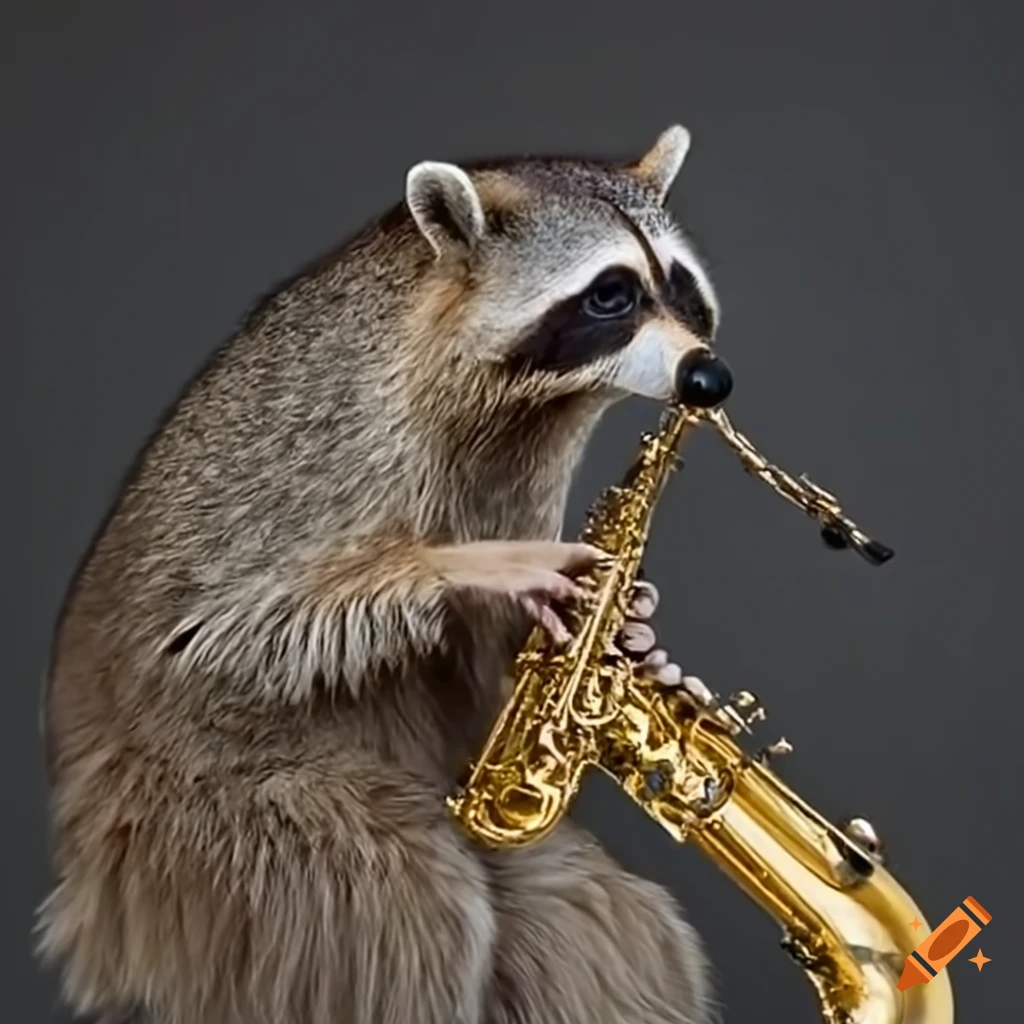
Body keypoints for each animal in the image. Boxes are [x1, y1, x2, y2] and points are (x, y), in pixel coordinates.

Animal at [39, 125, 723, 1024]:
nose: (710, 379)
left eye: (679, 285)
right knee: (406, 902)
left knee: (596, 918)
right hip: (207, 836)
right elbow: (216, 628)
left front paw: (640, 645)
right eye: (611, 296)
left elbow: (493, 676)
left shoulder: (523, 473)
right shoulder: (320, 450)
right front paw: (474, 570)